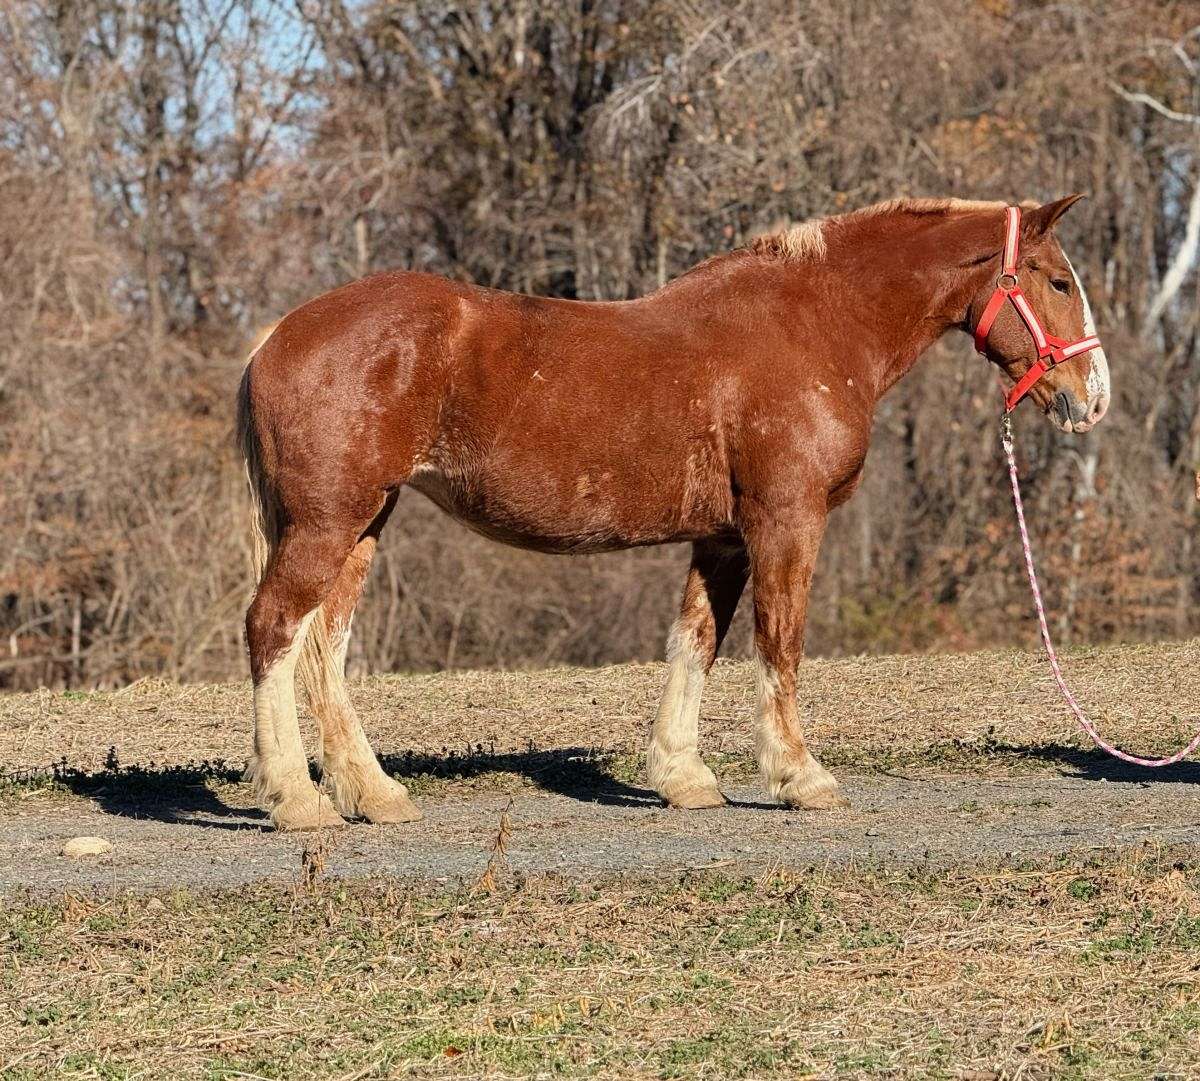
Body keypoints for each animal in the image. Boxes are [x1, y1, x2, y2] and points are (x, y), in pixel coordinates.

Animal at [235, 194, 1111, 831]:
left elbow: (696, 642)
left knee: (324, 648)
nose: (1093, 397)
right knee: (275, 628)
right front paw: (801, 777)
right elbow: (780, 644)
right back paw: (299, 801)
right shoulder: (786, 521)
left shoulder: (722, 539)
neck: (814, 323)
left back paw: (373, 793)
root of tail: (277, 333)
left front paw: (683, 776)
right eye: (1059, 281)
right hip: (329, 522)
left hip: (361, 524)